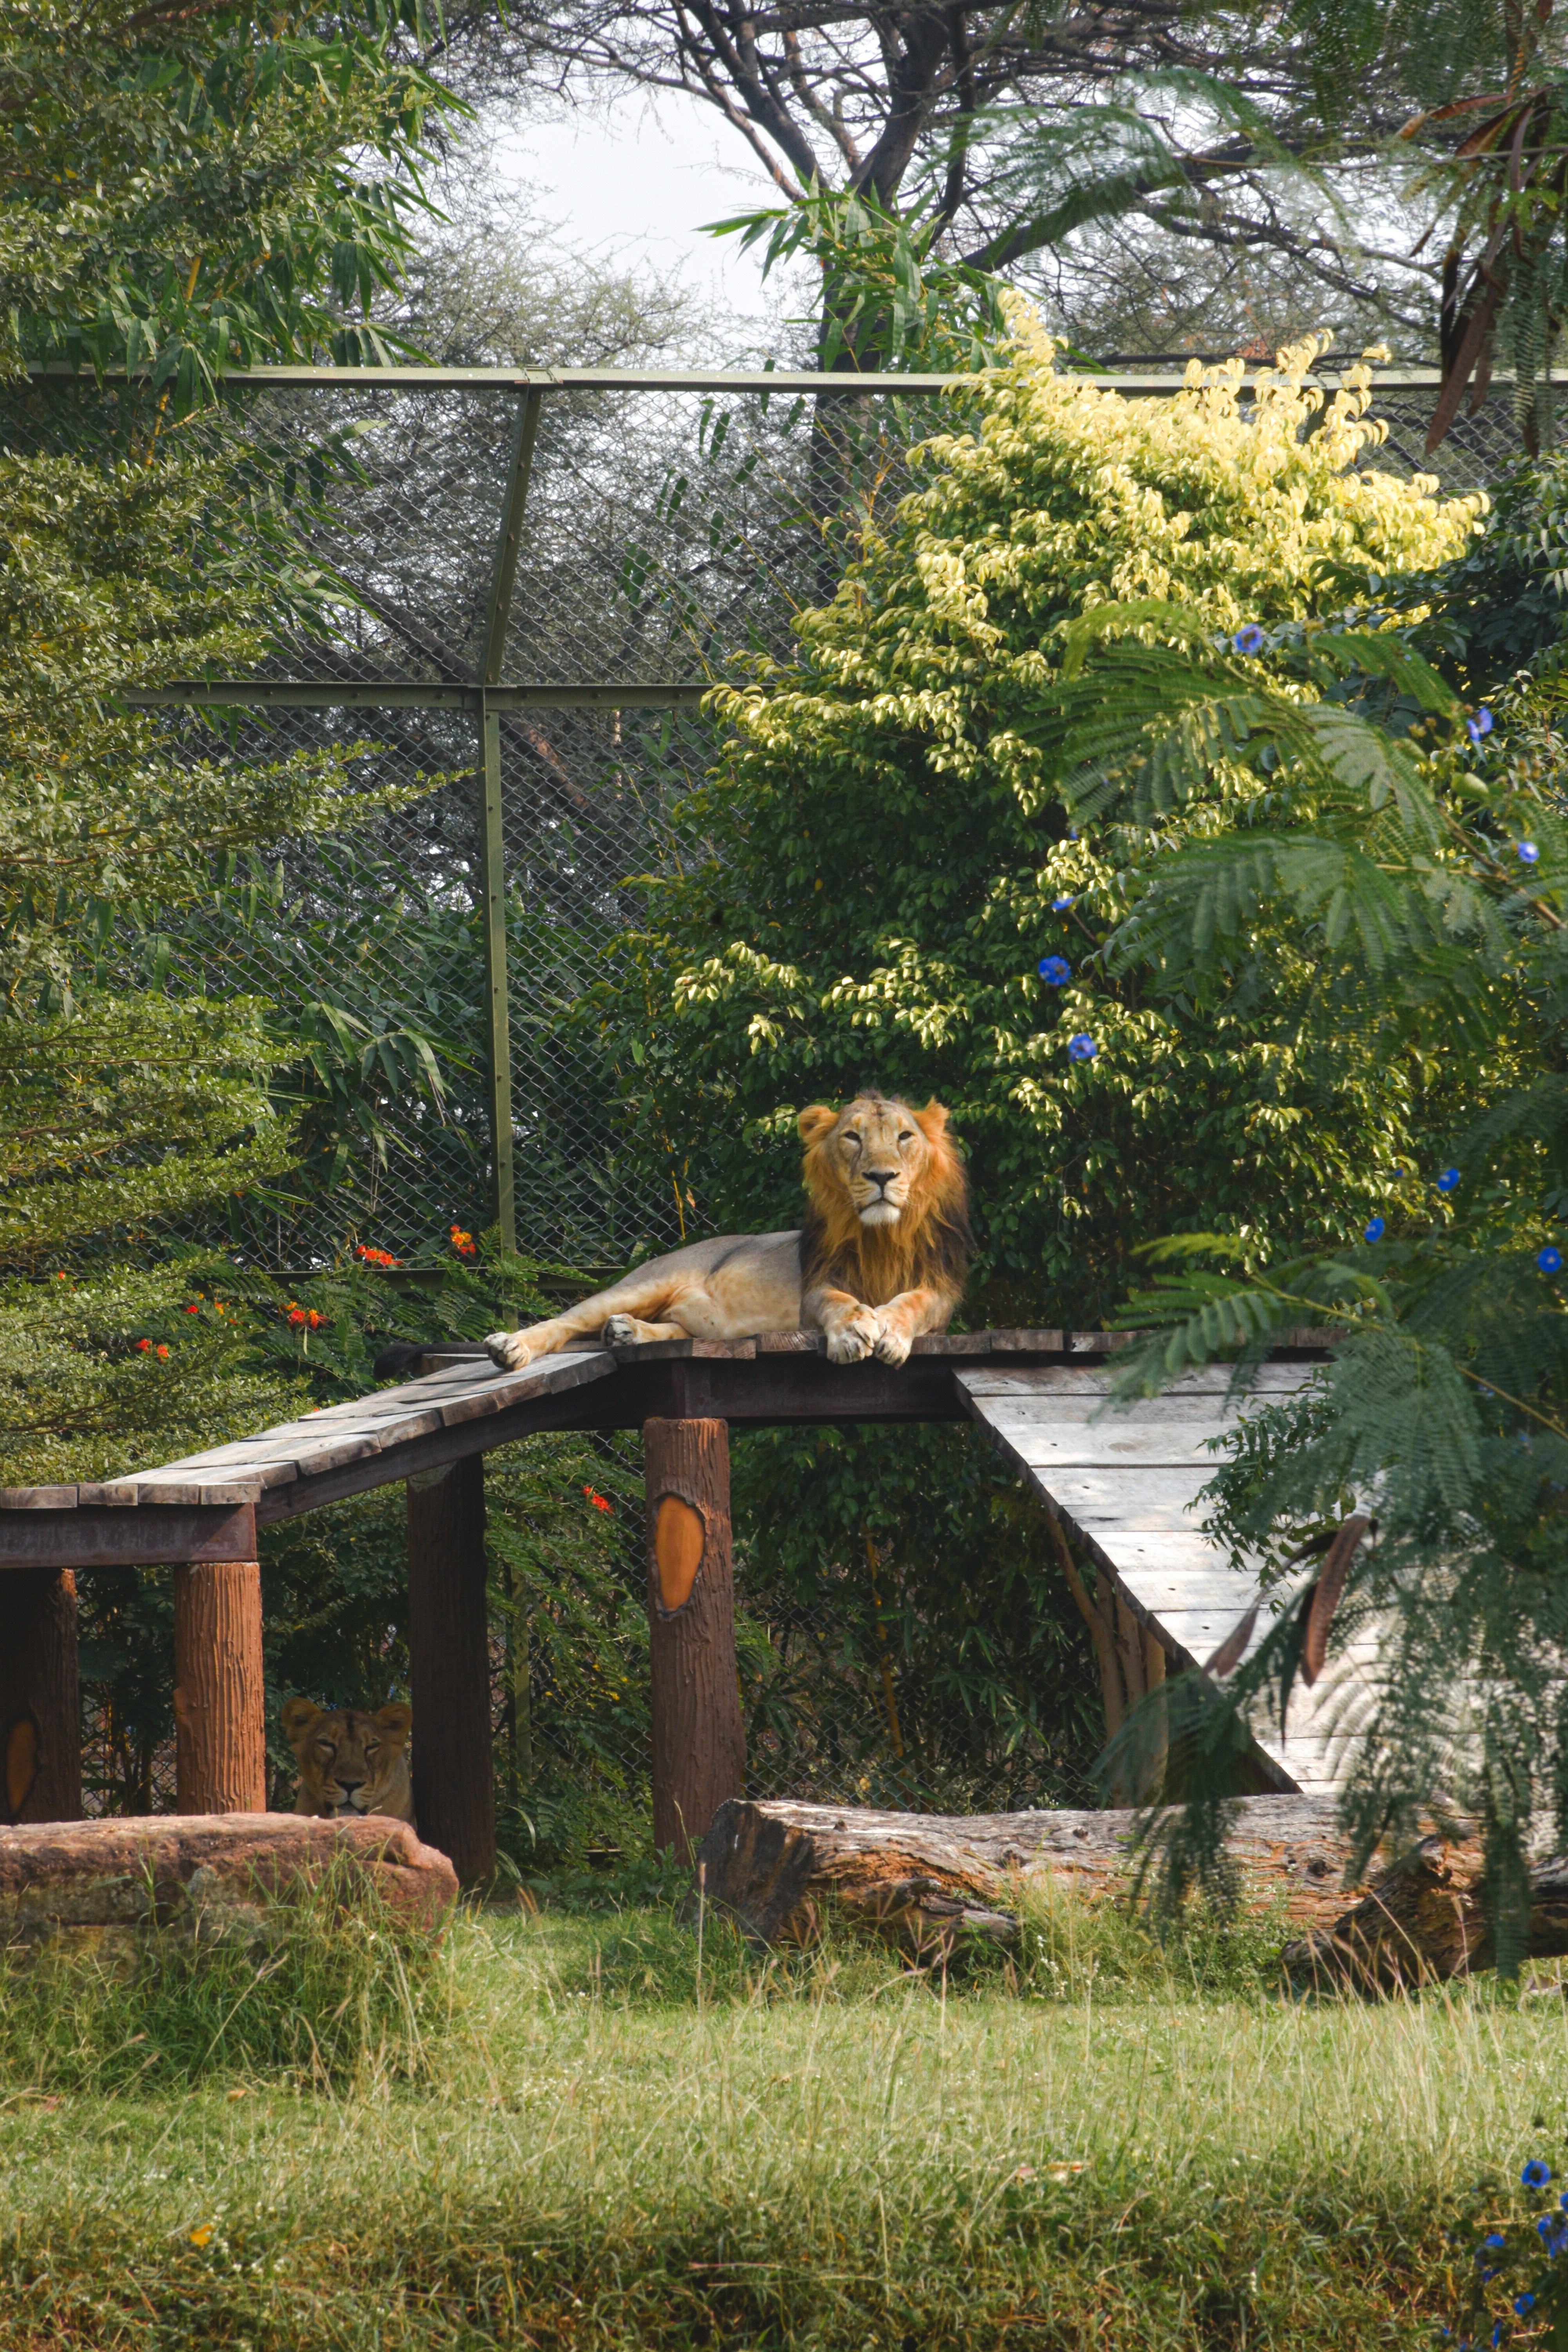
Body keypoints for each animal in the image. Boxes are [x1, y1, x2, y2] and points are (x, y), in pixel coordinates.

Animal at [483, 1091, 971, 1372]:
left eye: (905, 1137)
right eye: (852, 1137)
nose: (882, 1176)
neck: (883, 1235)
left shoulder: (942, 1292)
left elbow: (912, 1303)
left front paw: (890, 1329)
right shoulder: (815, 1288)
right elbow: (841, 1303)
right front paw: (854, 1332)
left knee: (674, 1329)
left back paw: (626, 1332)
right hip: (646, 1283)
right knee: (565, 1322)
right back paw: (510, 1346)